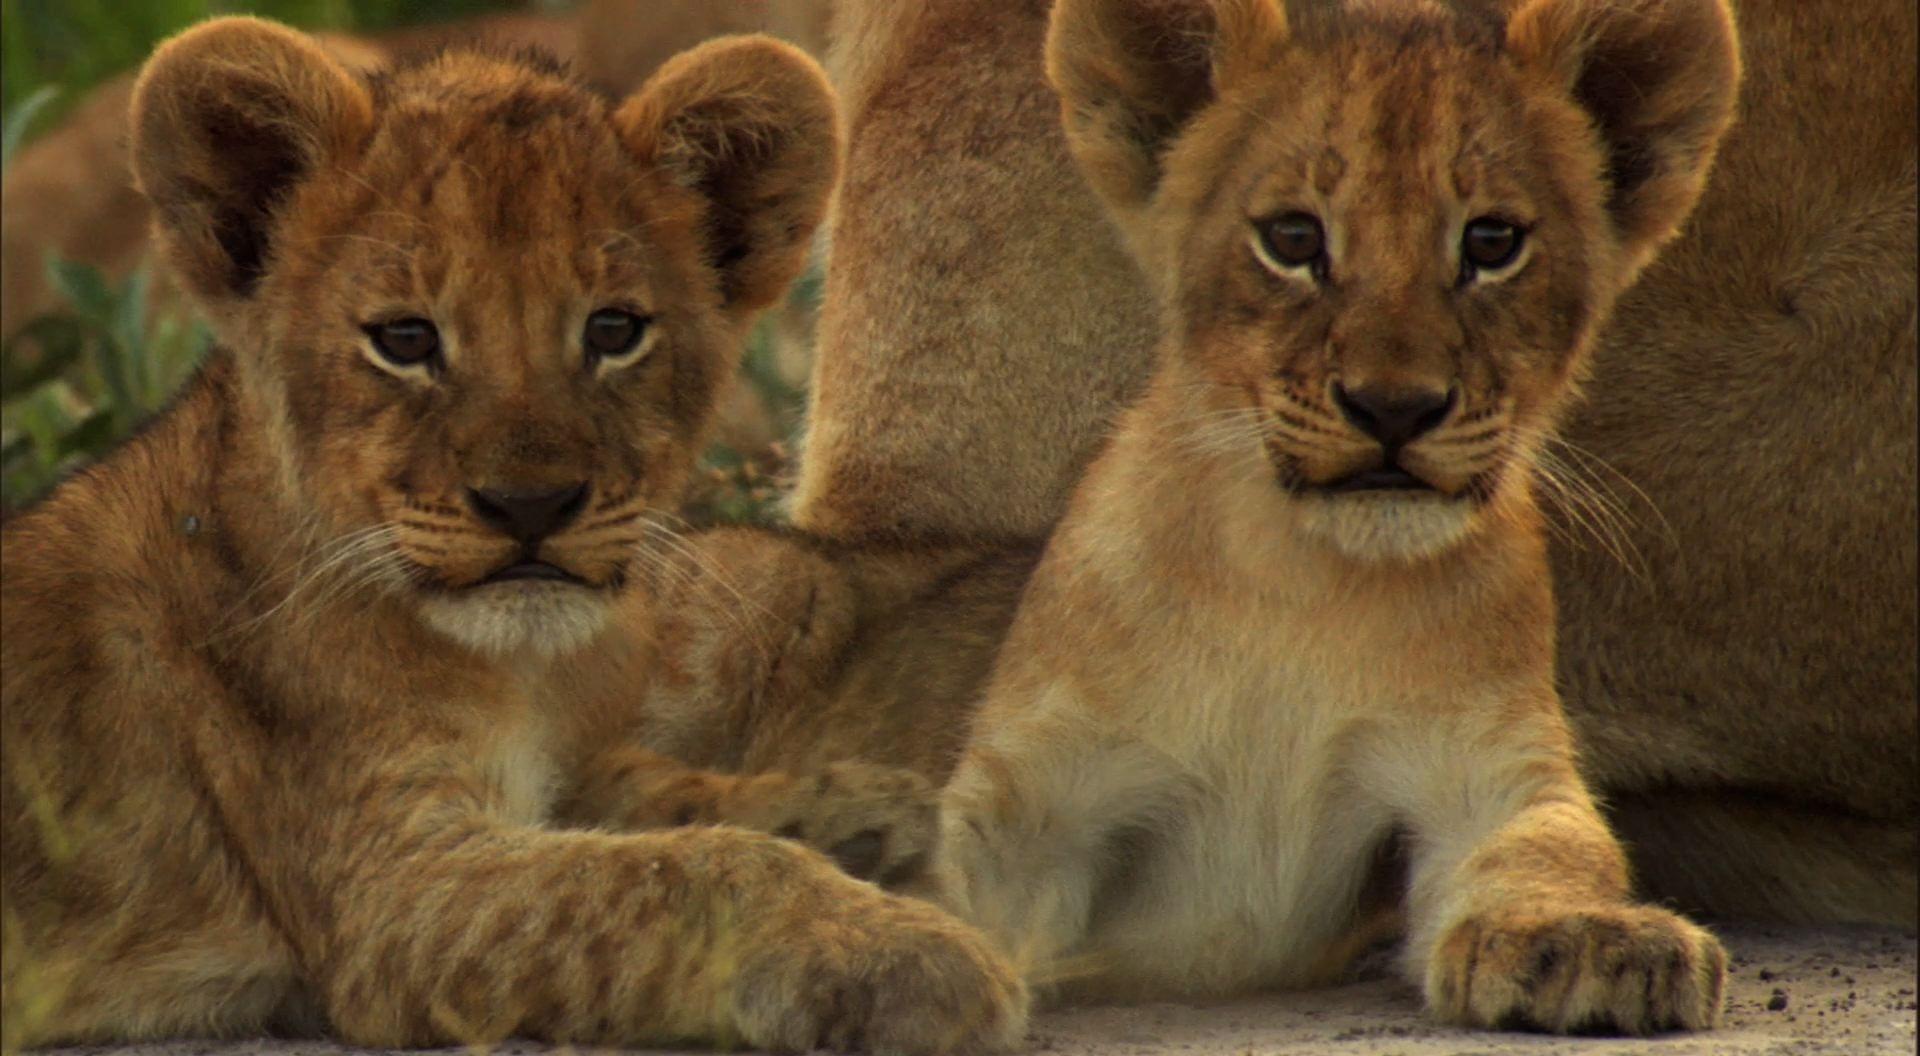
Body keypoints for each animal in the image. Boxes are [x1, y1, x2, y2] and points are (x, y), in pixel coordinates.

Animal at [0, 19, 1024, 1051]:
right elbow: (676, 875)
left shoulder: (557, 771)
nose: (530, 506)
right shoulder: (392, 894)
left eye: (614, 330)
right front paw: (903, 950)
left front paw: (854, 804)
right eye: (405, 340)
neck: (520, 670)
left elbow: (656, 791)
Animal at [927, 0, 1741, 1033]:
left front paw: (1594, 941)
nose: (1394, 408)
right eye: (1292, 237)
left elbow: (1547, 845)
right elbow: (963, 889)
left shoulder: (1485, 770)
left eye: (1491, 243)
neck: (1302, 582)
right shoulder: (1041, 797)